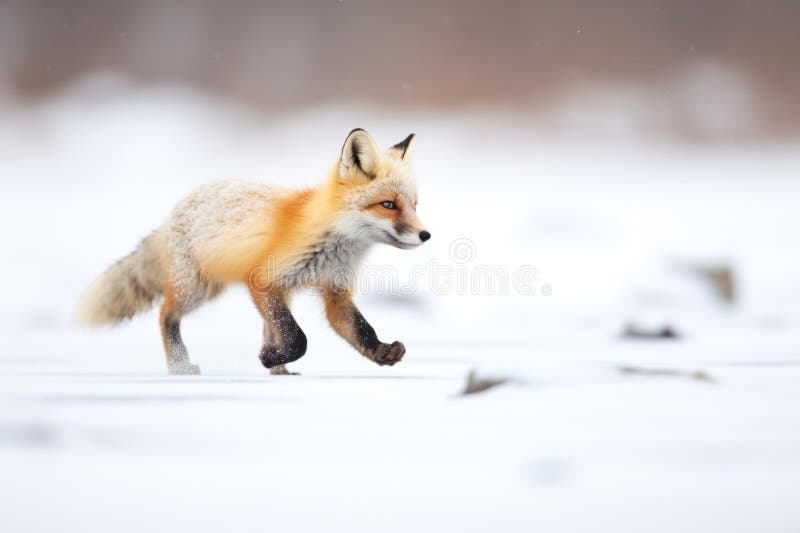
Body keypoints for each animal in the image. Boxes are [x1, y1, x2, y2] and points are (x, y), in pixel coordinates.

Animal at [75, 129, 430, 375]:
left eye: (414, 205)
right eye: (388, 205)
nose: (425, 235)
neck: (336, 245)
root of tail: (175, 211)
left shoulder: (334, 290)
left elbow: (359, 329)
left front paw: (380, 352)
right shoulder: (261, 279)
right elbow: (297, 338)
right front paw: (267, 358)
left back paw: (280, 370)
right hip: (198, 288)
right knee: (165, 313)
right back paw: (180, 365)